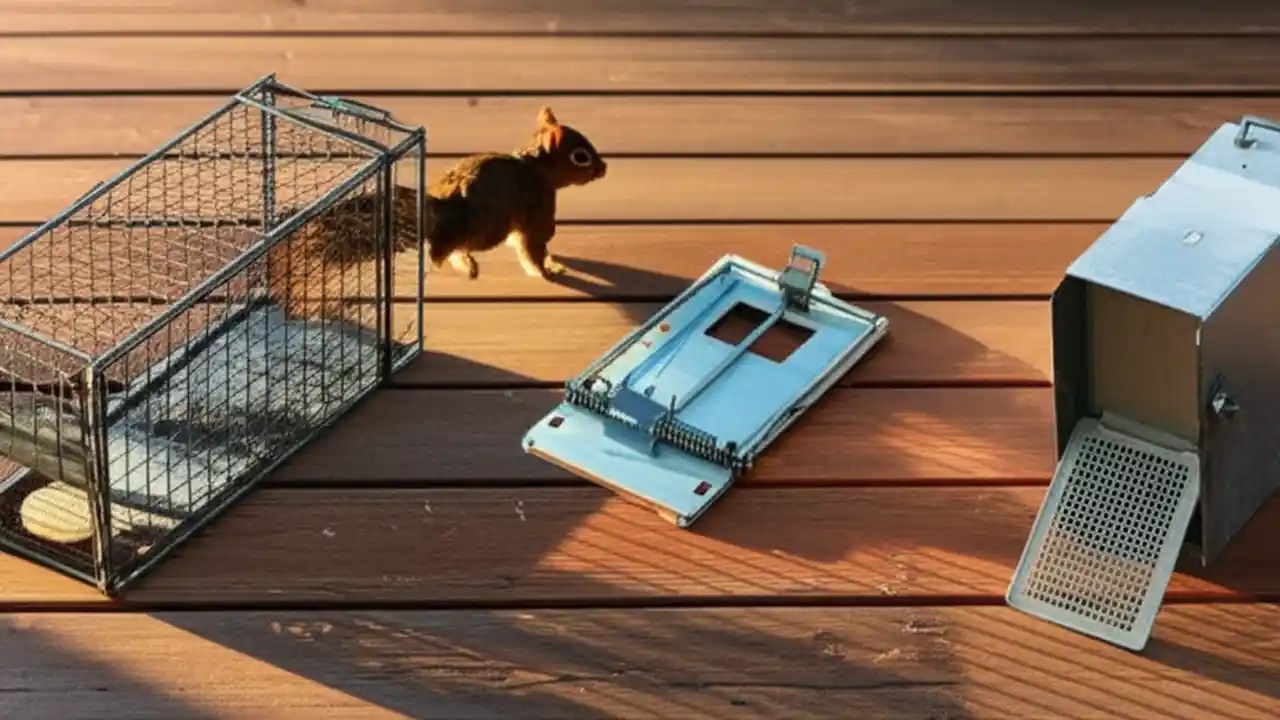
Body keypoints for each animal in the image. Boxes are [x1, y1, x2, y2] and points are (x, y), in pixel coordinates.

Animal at [265, 105, 606, 319]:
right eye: (580, 157)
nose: (603, 168)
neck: (537, 169)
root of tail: (438, 209)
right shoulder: (538, 214)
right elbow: (533, 251)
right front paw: (549, 271)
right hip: (484, 228)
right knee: (444, 253)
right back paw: (466, 264)